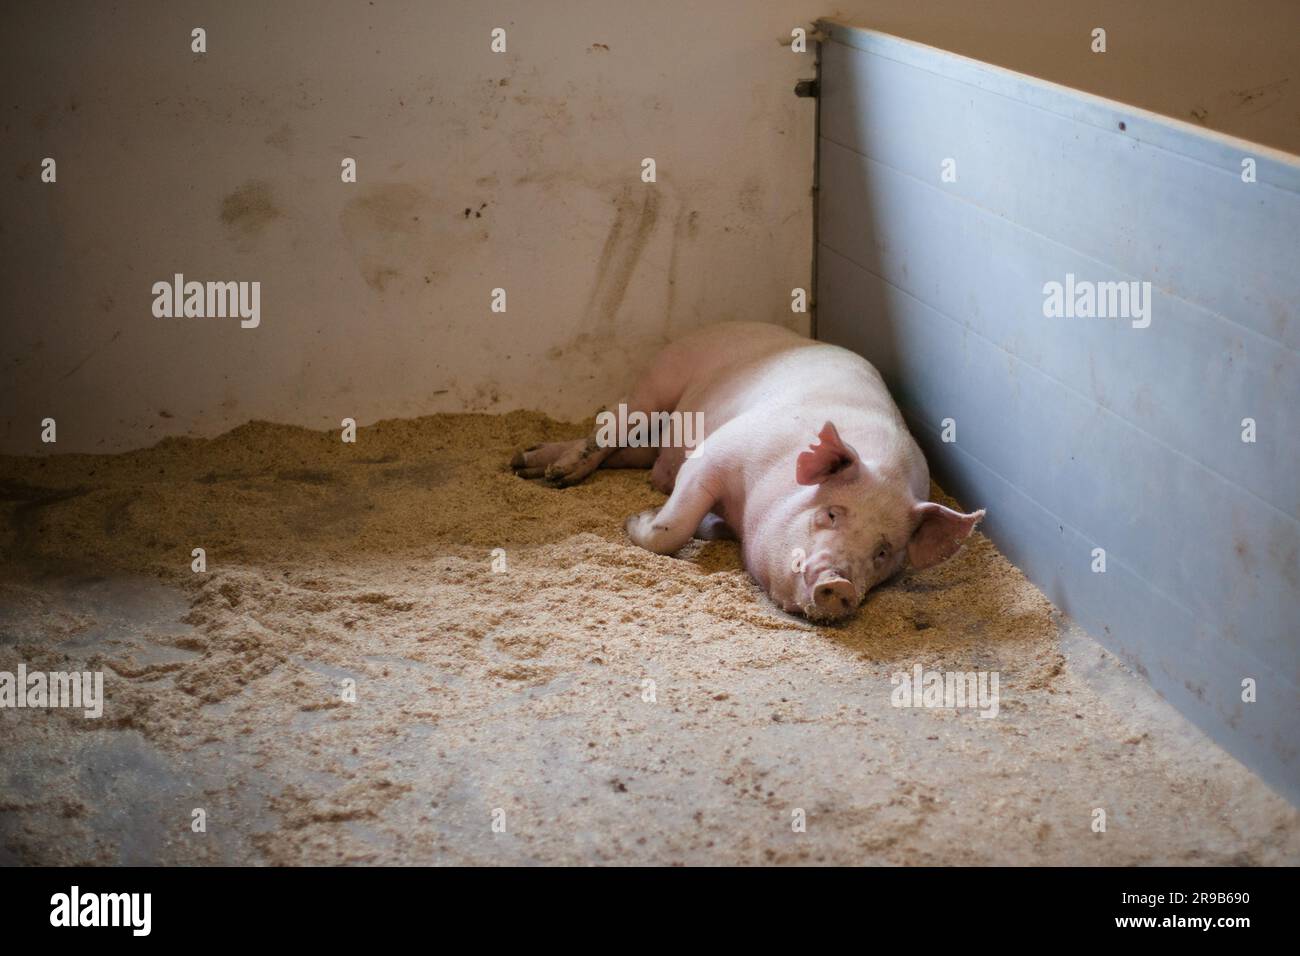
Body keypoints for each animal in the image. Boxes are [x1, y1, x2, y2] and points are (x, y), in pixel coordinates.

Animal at [510, 322, 984, 621]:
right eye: (830, 513)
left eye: (883, 551)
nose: (840, 584)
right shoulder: (715, 454)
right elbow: (672, 527)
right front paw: (636, 519)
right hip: (658, 380)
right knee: (613, 425)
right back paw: (548, 472)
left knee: (633, 451)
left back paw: (527, 461)